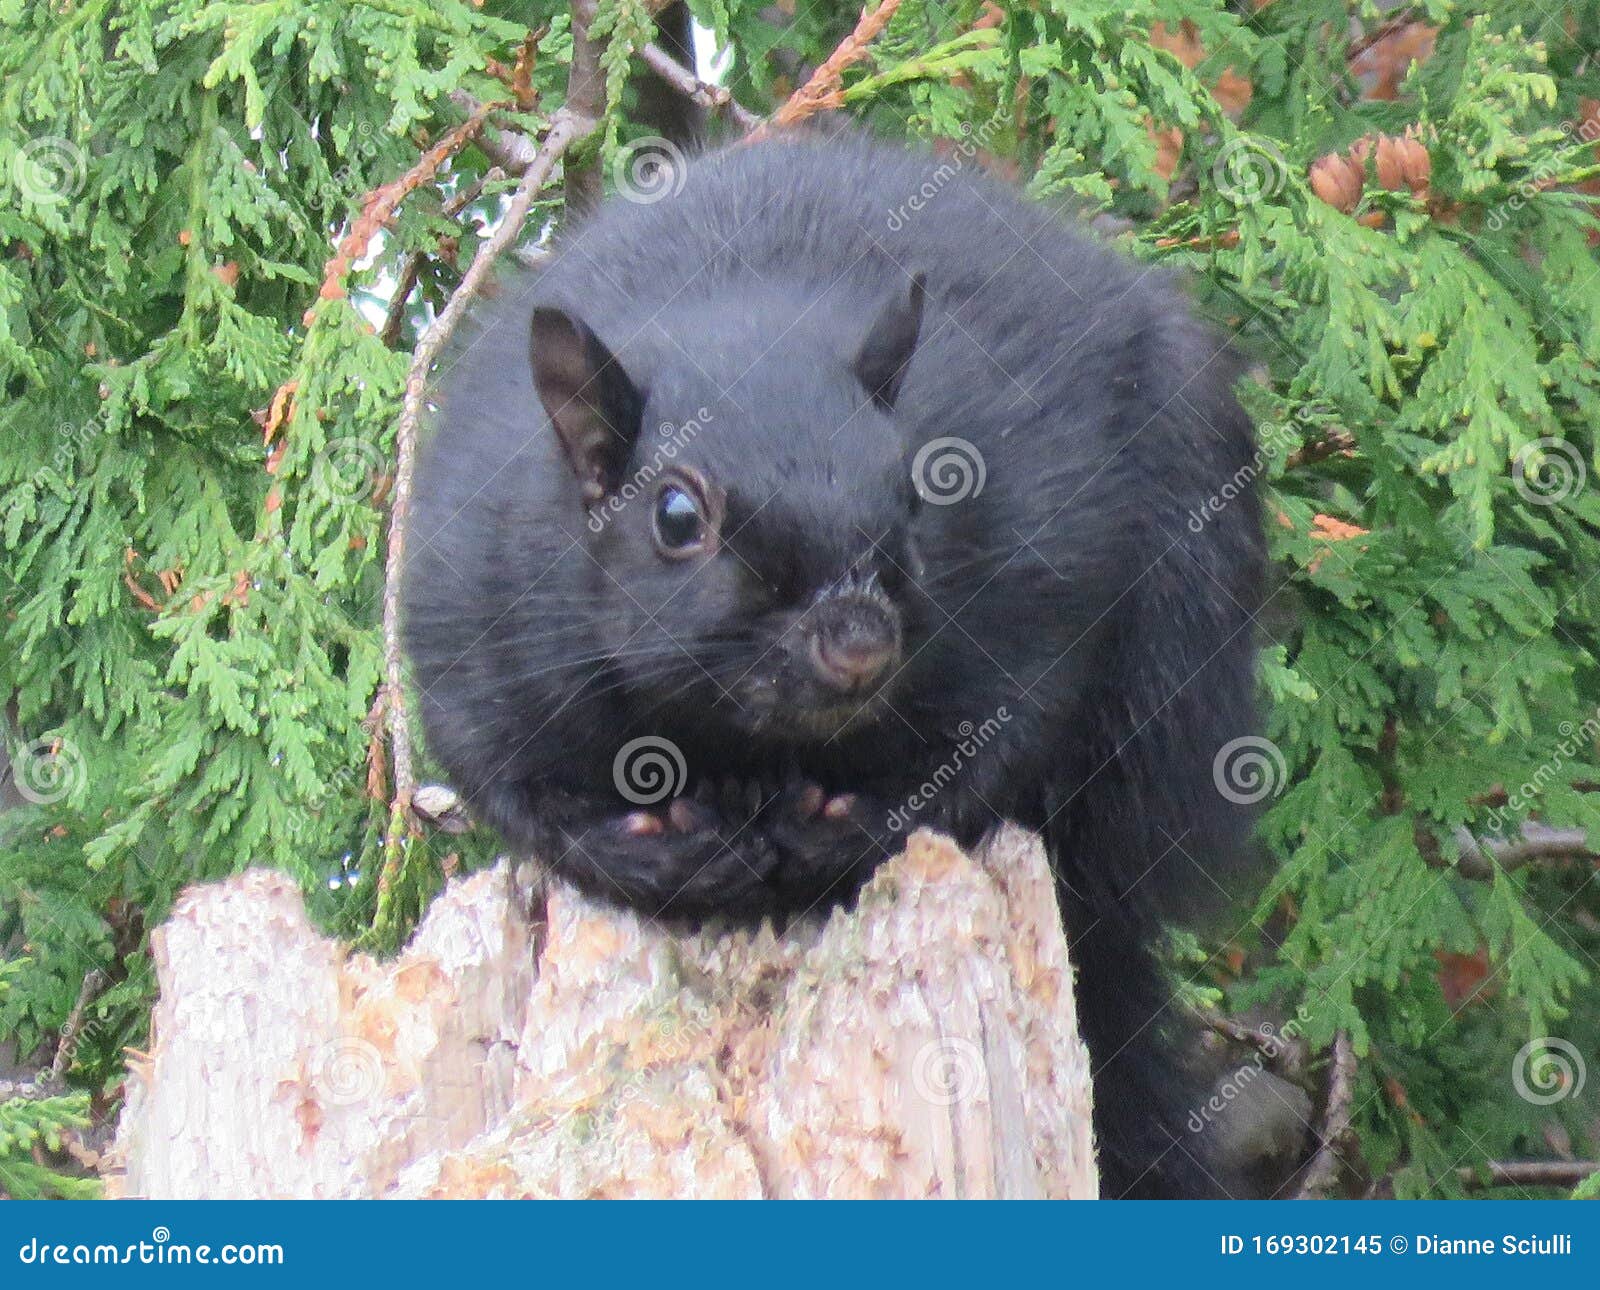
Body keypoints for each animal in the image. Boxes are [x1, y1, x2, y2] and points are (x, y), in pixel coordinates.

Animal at [403, 130, 1268, 1198]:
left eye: (920, 489)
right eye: (675, 516)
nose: (859, 642)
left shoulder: (1043, 578)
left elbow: (1001, 737)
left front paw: (846, 825)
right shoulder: (474, 631)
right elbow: (512, 792)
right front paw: (650, 845)